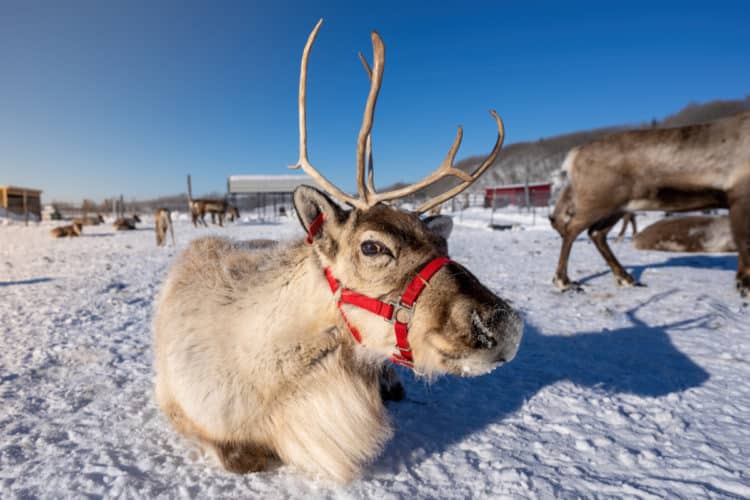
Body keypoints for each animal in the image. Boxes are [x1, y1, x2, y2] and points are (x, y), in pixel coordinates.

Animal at [549, 110, 750, 296]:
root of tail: (574, 155)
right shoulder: (740, 197)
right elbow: (745, 244)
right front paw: (745, 286)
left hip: (618, 207)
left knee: (596, 233)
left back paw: (625, 278)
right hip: (597, 202)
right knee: (572, 229)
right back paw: (563, 281)